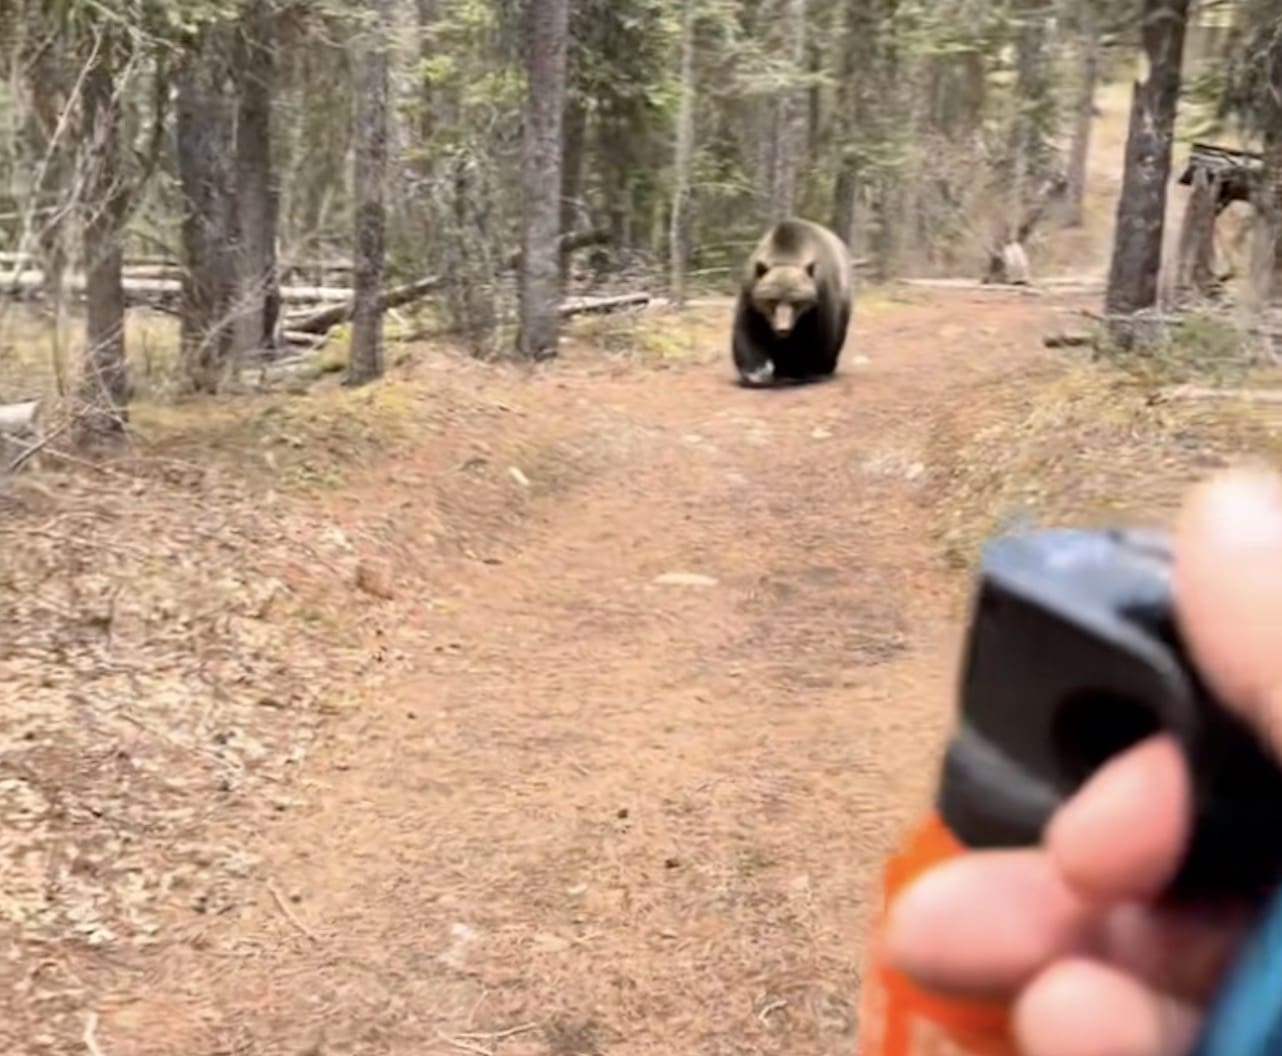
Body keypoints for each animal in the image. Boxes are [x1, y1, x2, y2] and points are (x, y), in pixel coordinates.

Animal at [731, 217, 854, 387]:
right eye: (772, 300)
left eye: (796, 301)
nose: (783, 328)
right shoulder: (751, 292)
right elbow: (748, 331)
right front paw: (756, 372)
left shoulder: (821, 295)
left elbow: (821, 335)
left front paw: (812, 370)